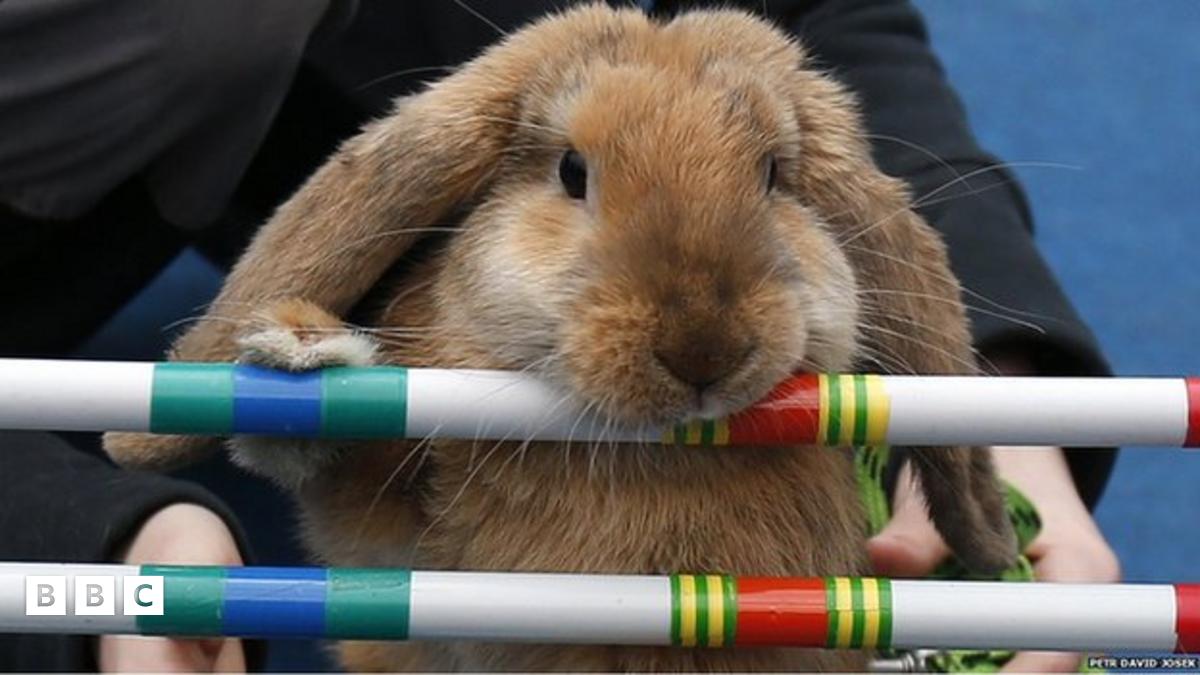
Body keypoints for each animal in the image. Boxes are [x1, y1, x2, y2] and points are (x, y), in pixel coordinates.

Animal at [105, 4, 1017, 671]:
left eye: (771, 176)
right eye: (573, 172)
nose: (702, 349)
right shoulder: (382, 550)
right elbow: (318, 459)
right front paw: (299, 349)